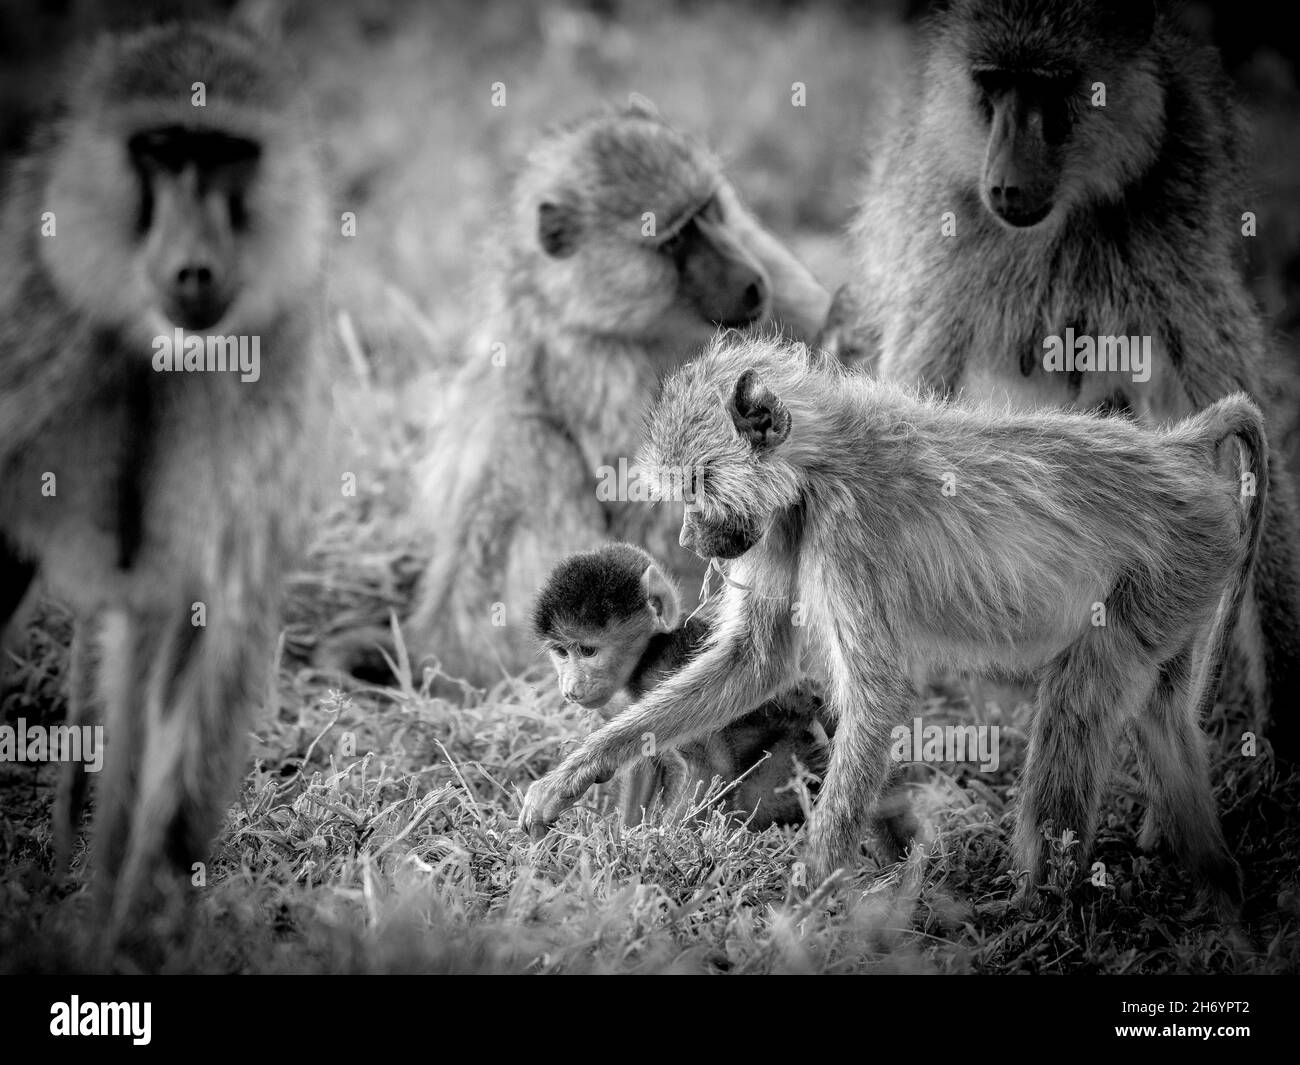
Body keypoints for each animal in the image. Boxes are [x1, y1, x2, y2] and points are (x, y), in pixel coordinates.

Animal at [0, 24, 328, 950]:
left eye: (226, 154)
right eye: (160, 150)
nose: (194, 270)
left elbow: (201, 614)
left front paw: (131, 926)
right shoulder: (31, 329)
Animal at [387, 99, 830, 690]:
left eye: (708, 210)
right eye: (672, 240)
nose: (750, 284)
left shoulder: (758, 250)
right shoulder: (595, 362)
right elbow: (659, 517)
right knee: (528, 445)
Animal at [532, 542, 834, 830]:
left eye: (587, 651)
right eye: (561, 652)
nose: (570, 686)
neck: (645, 658)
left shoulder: (664, 665)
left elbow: (710, 768)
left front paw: (657, 845)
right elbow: (641, 761)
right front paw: (621, 838)